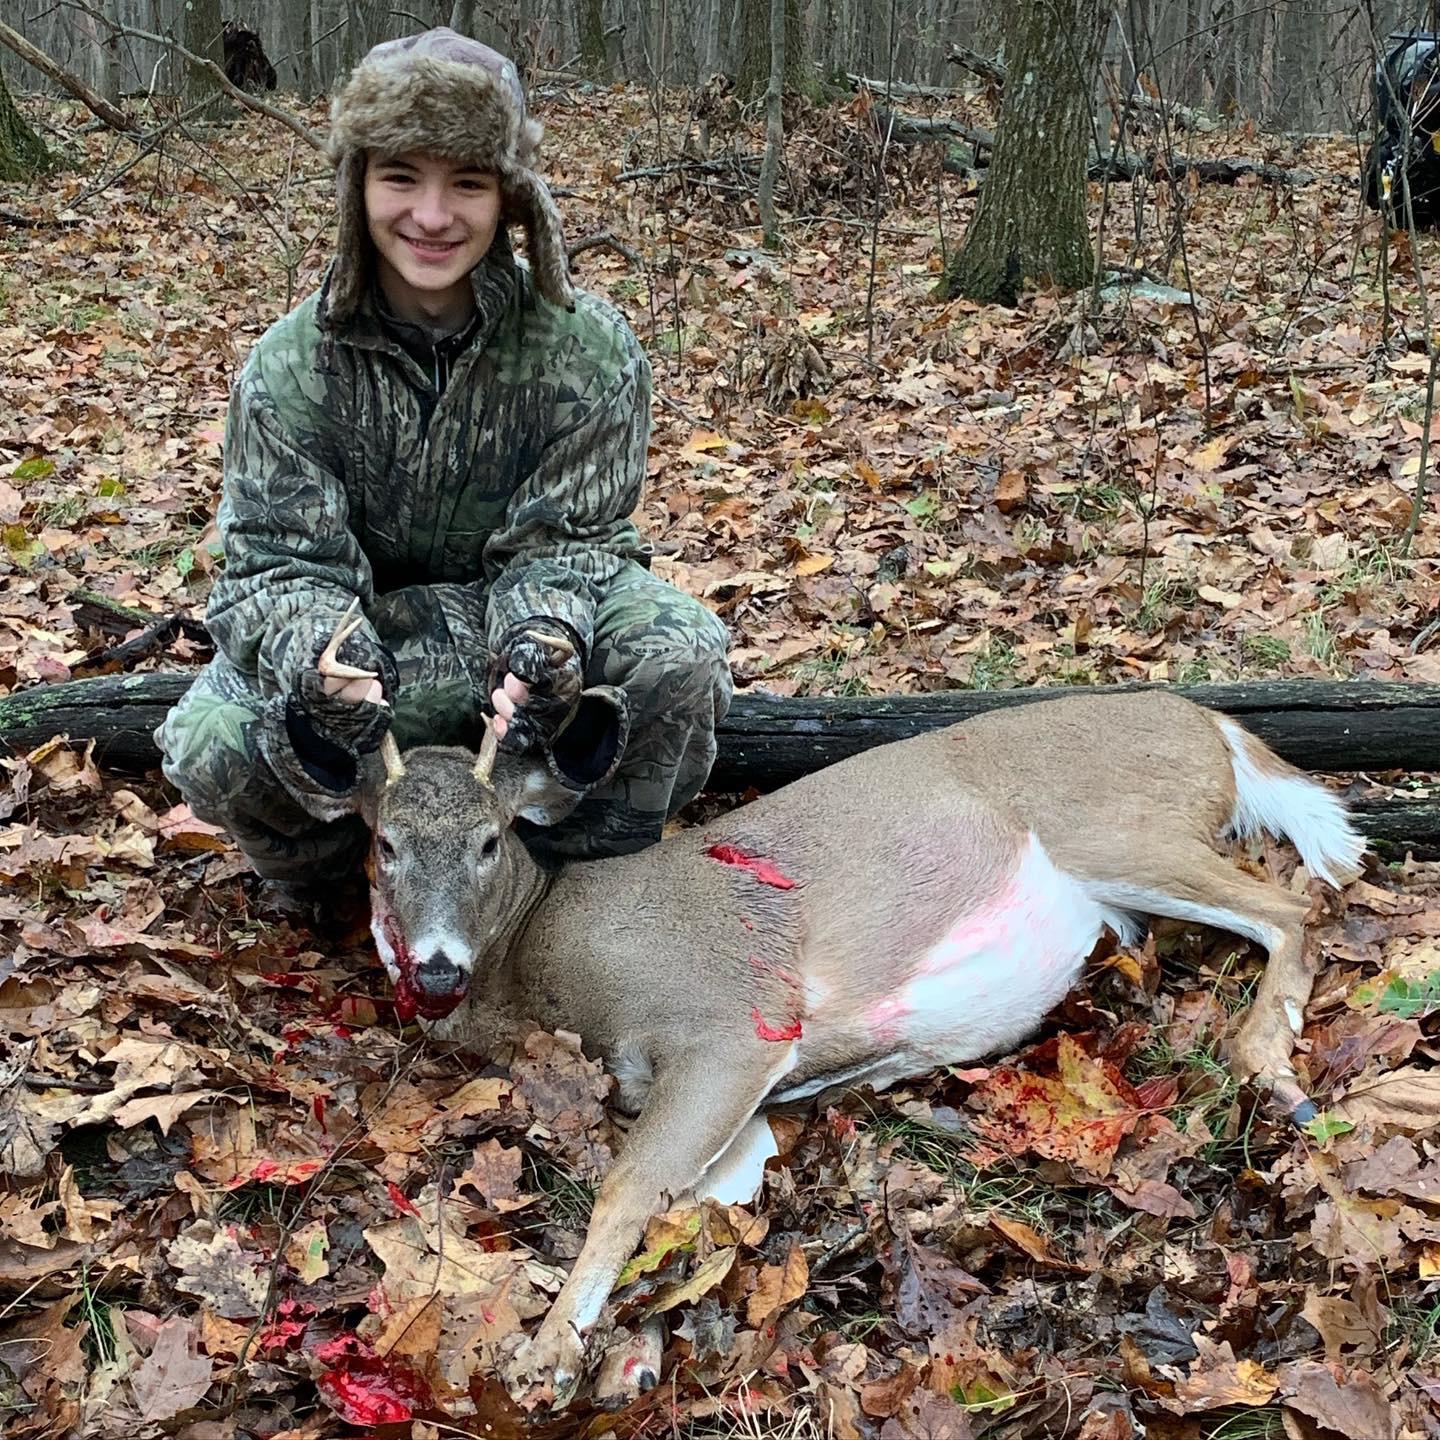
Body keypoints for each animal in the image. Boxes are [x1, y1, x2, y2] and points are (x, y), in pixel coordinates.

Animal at [339, 656, 1363, 1408]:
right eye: (382, 846)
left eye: (489, 841)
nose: (436, 969)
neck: (539, 958)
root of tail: (1214, 726)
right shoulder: (740, 1099)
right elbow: (690, 1217)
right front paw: (634, 1357)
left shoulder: (730, 1020)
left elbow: (626, 1189)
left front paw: (546, 1358)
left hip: (1115, 829)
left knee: (1300, 905)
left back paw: (1268, 1062)